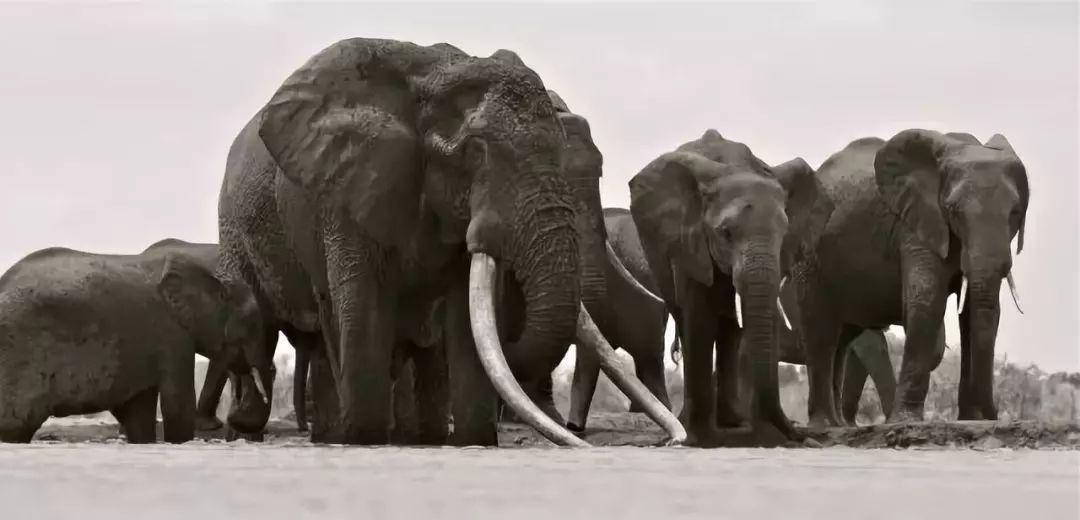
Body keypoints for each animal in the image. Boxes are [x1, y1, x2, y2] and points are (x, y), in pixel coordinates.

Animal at [215, 37, 683, 446]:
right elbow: (363, 312)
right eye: (475, 152)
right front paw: (365, 439)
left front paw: (473, 442)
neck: (435, 71)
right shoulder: (345, 191)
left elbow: (465, 324)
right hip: (235, 231)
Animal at [630, 129, 835, 446]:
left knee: (730, 333)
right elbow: (699, 318)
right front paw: (699, 438)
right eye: (725, 233)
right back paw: (693, 422)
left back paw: (733, 420)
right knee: (687, 321)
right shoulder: (691, 244)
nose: (799, 434)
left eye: (784, 233)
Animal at [793, 130, 1028, 427]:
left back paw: (838, 425)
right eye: (954, 211)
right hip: (810, 252)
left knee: (842, 339)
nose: (992, 417)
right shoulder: (915, 225)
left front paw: (971, 420)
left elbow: (974, 311)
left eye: (1015, 212)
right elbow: (926, 300)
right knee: (819, 328)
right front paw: (905, 421)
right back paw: (825, 424)